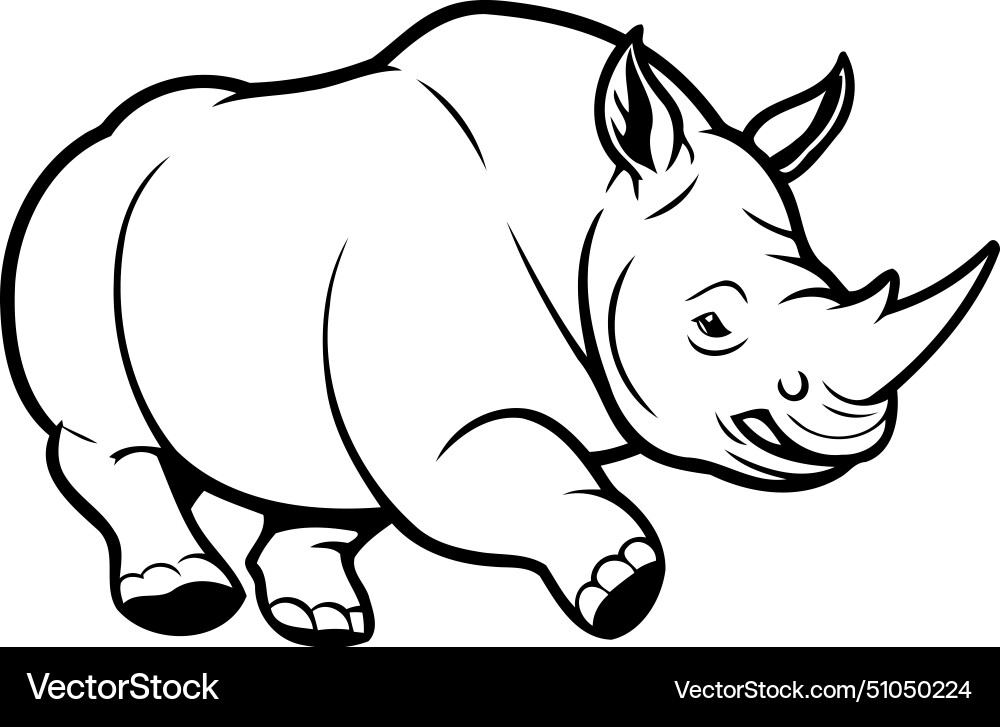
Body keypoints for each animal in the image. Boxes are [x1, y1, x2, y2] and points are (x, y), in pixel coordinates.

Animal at [2, 2, 996, 645]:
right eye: (712, 322)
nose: (851, 436)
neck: (591, 212)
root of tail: (93, 140)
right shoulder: (441, 398)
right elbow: (512, 471)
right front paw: (625, 584)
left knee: (332, 478)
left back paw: (325, 622)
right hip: (78, 226)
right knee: (109, 433)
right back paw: (180, 600)